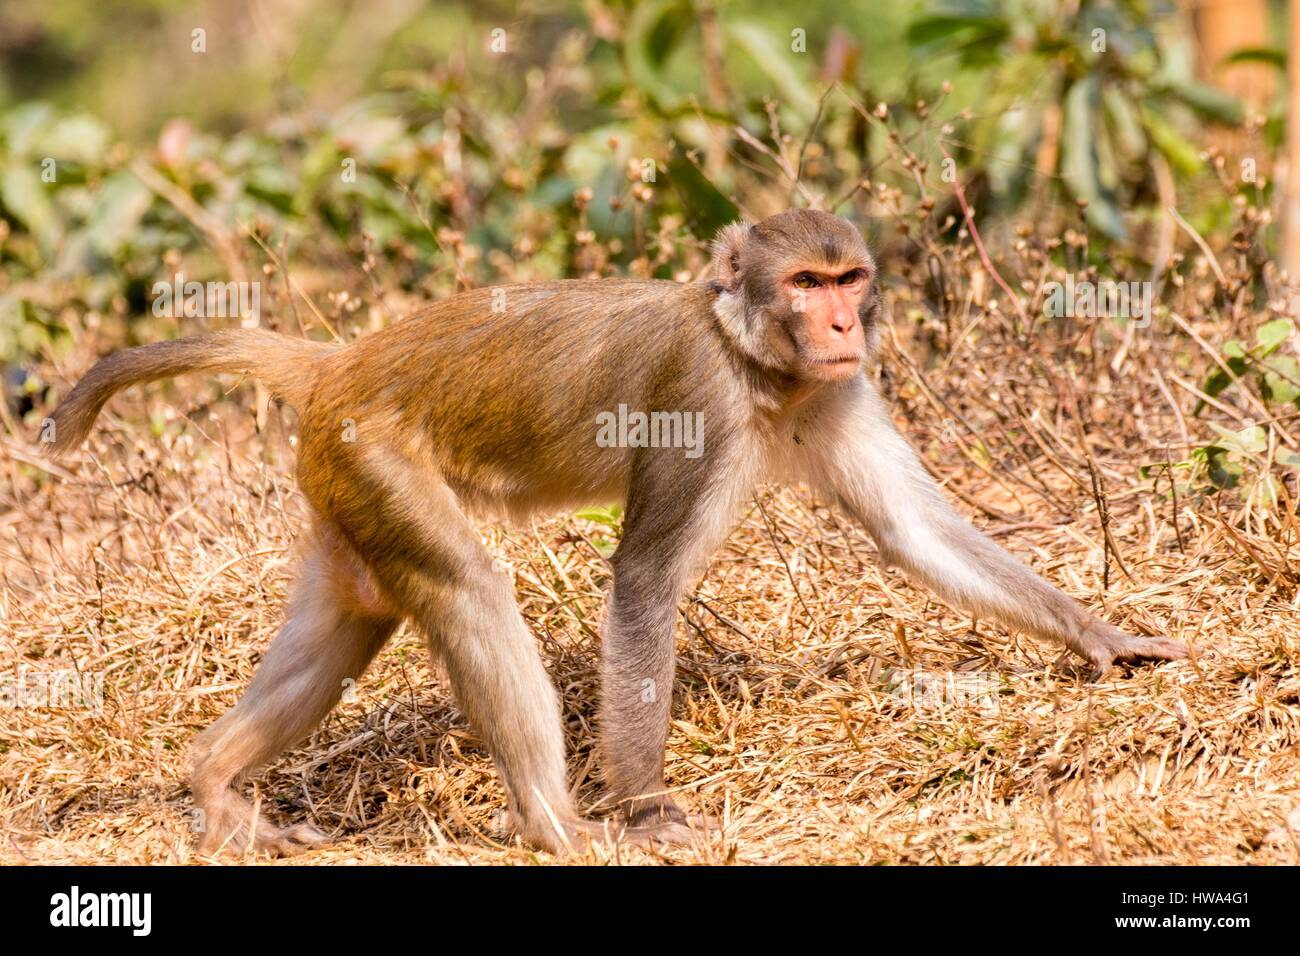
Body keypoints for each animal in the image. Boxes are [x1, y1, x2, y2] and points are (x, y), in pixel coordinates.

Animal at [43, 209, 1191, 857]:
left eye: (848, 279)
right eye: (805, 282)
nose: (840, 324)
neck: (753, 358)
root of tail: (339, 363)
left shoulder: (830, 390)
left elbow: (913, 530)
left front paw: (1101, 637)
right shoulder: (700, 402)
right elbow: (642, 584)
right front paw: (645, 808)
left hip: (341, 477)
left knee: (348, 619)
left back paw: (212, 777)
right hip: (376, 454)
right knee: (466, 591)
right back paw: (553, 825)